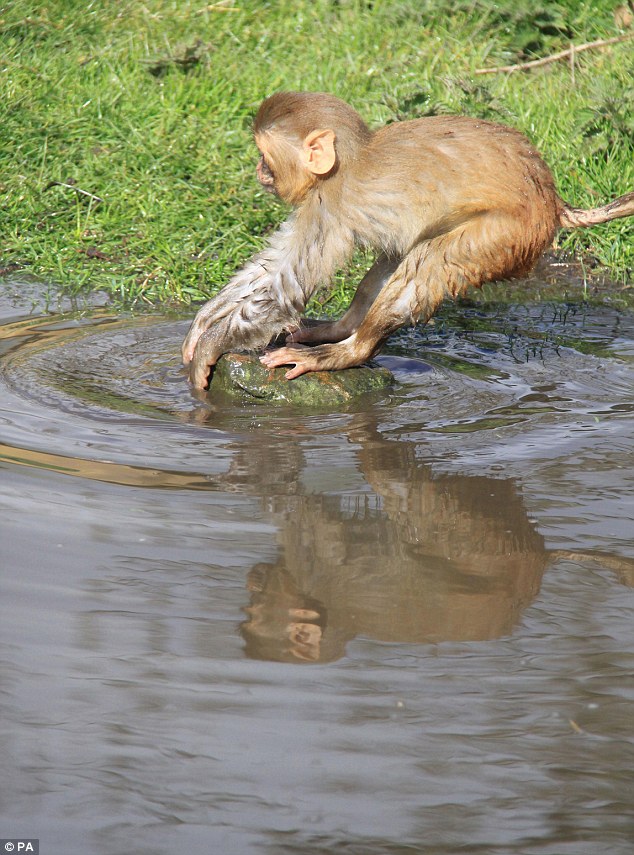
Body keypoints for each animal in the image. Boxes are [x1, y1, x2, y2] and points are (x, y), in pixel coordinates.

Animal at [182, 91, 634, 388]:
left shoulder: (329, 206)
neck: (345, 162)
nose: (260, 172)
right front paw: (207, 318)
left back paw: (349, 351)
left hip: (507, 235)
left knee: (429, 262)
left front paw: (211, 346)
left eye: (266, 157)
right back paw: (339, 328)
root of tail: (552, 200)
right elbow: (271, 269)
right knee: (398, 257)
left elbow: (285, 287)